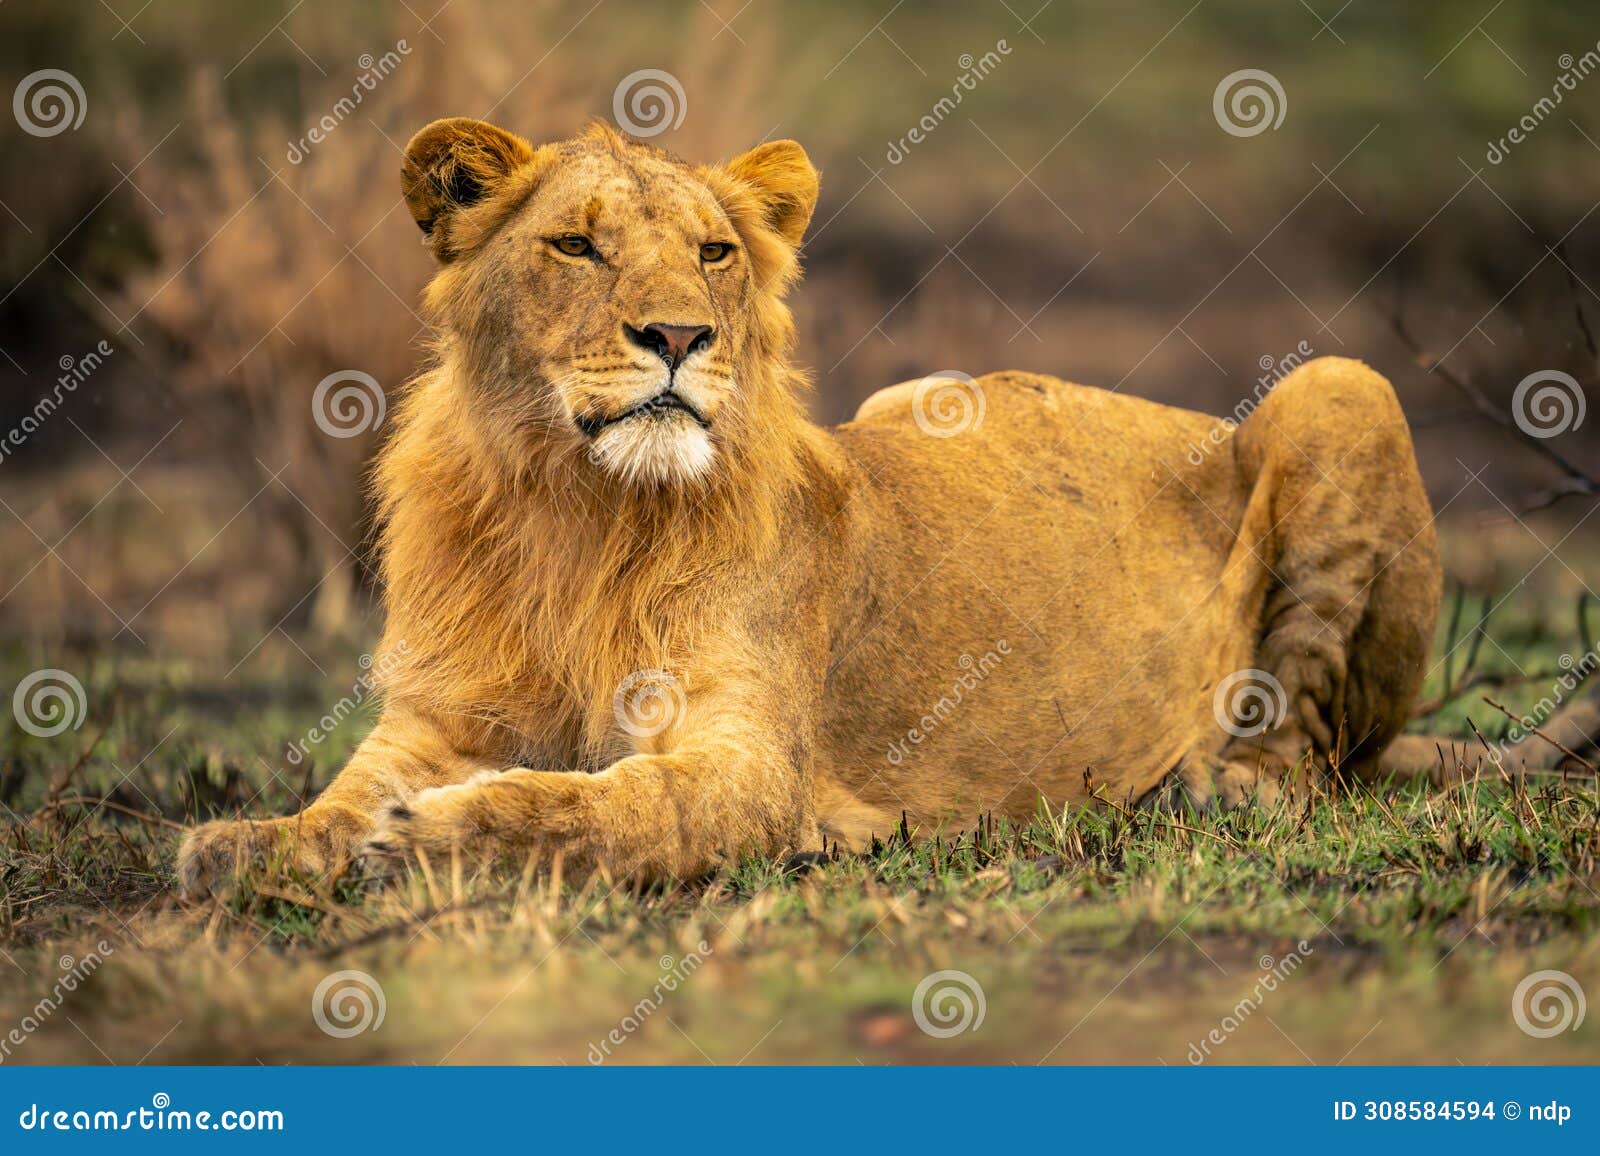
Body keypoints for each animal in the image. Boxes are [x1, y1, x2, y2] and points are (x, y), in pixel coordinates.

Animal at [178, 118, 1600, 896]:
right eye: (575, 246)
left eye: (714, 252)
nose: (680, 336)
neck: (569, 508)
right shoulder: (436, 717)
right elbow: (332, 804)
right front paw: (248, 843)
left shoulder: (753, 762)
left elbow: (607, 807)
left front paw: (435, 841)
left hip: (1338, 383)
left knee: (1309, 754)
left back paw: (1207, 787)